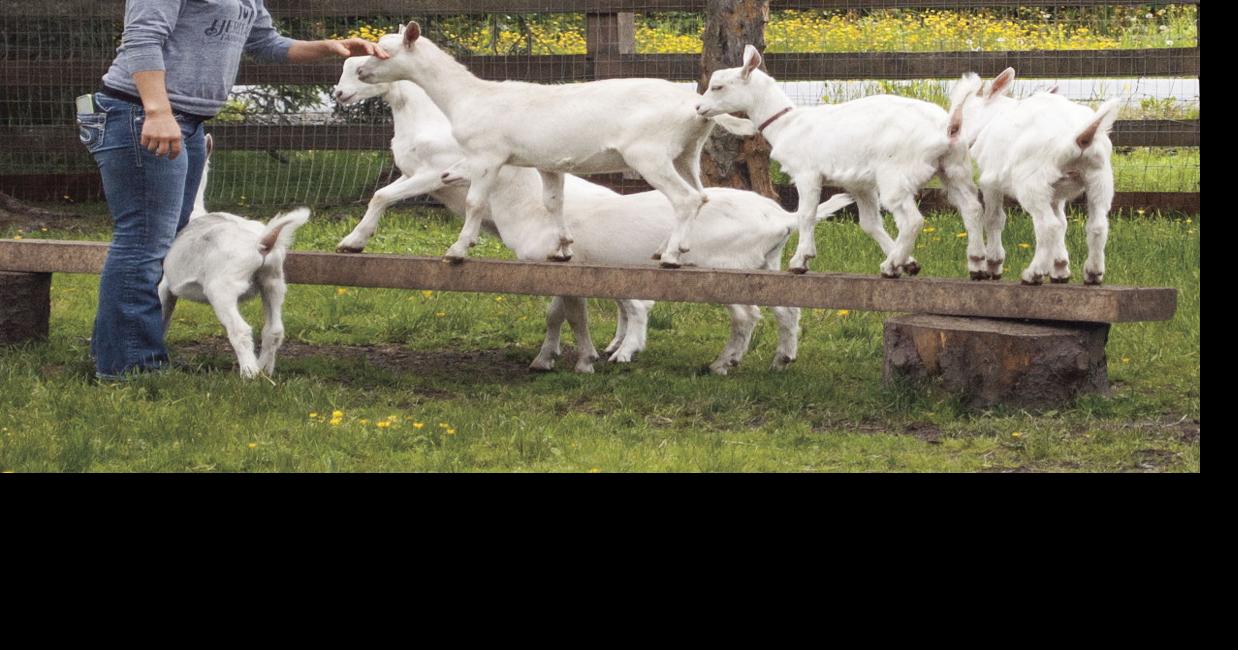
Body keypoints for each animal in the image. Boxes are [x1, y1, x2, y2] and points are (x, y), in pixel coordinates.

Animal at [356, 22, 757, 268]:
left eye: (385, 52)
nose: (358, 71)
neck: (471, 96)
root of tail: (696, 105)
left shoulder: (487, 155)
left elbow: (475, 202)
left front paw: (456, 251)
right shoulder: (547, 163)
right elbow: (553, 202)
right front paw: (562, 248)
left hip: (650, 154)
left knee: (685, 199)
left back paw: (672, 256)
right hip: (687, 153)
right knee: (701, 195)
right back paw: (672, 249)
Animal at [697, 45, 985, 278]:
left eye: (718, 86)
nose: (699, 108)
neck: (788, 123)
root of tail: (947, 126)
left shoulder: (807, 173)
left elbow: (806, 214)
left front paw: (801, 261)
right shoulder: (859, 184)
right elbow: (870, 224)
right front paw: (910, 263)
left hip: (896, 174)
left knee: (913, 220)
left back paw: (890, 267)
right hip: (954, 167)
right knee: (971, 208)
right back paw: (978, 266)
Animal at [952, 68, 1119, 284]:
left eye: (963, 108)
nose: (951, 129)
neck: (991, 121)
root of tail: (1079, 137)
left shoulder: (990, 181)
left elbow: (994, 218)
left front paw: (994, 265)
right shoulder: (1056, 193)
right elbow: (1063, 223)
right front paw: (1060, 268)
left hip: (1031, 183)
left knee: (1048, 225)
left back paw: (1033, 273)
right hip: (1099, 179)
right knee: (1096, 225)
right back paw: (1093, 273)